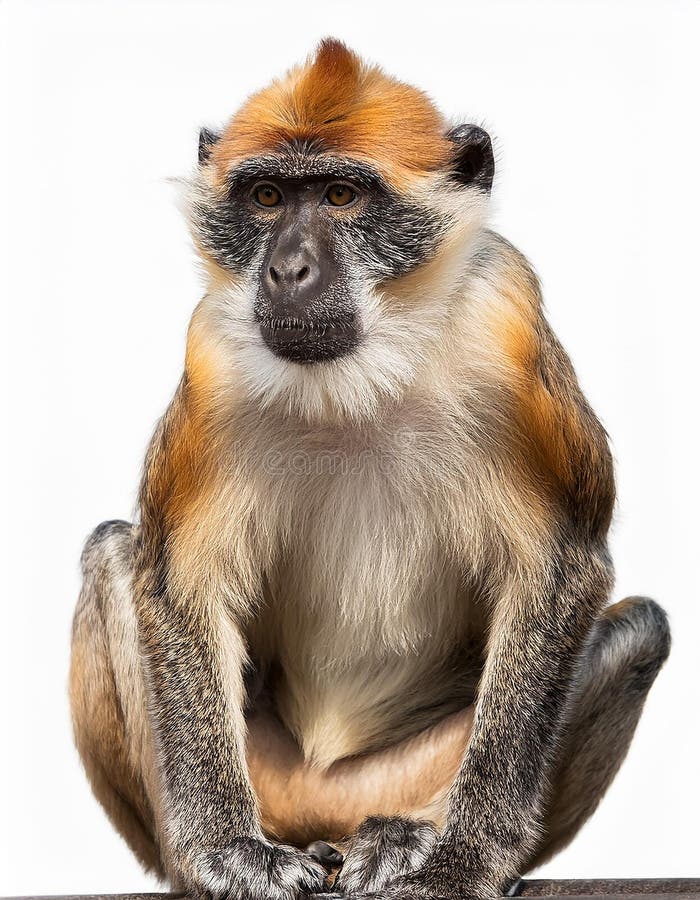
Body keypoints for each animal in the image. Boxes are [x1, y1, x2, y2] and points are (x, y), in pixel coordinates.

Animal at [69, 39, 671, 900]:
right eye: (266, 197)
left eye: (341, 195)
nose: (286, 271)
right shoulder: (212, 348)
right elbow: (174, 576)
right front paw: (226, 852)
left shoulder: (506, 314)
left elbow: (561, 571)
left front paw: (462, 859)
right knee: (113, 551)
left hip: (394, 773)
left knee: (641, 627)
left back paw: (401, 834)